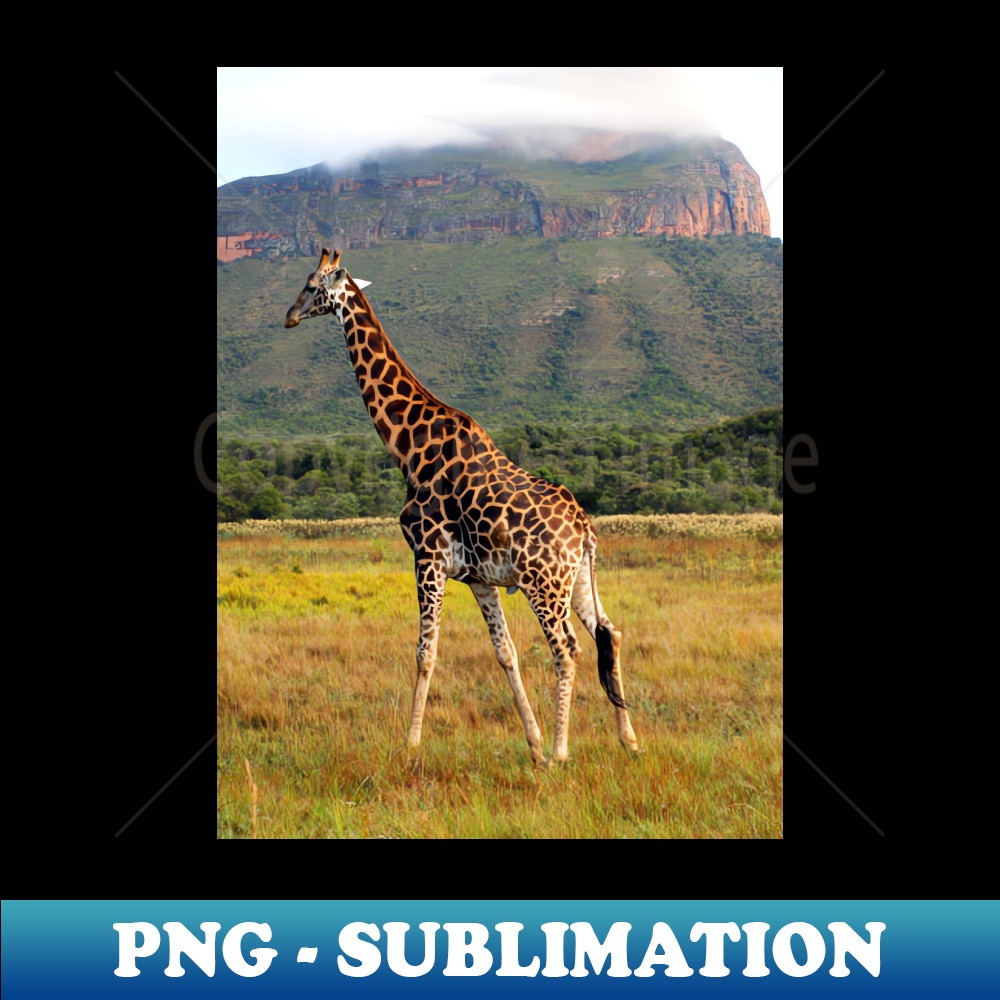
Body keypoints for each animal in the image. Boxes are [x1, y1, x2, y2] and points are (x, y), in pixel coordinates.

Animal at [284, 249, 640, 764]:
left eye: (312, 286)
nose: (288, 317)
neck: (409, 450)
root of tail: (584, 530)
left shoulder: (427, 557)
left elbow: (425, 652)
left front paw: (410, 743)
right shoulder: (478, 578)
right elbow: (505, 653)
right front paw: (532, 744)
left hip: (543, 583)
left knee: (567, 648)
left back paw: (562, 751)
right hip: (577, 580)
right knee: (608, 634)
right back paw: (628, 740)